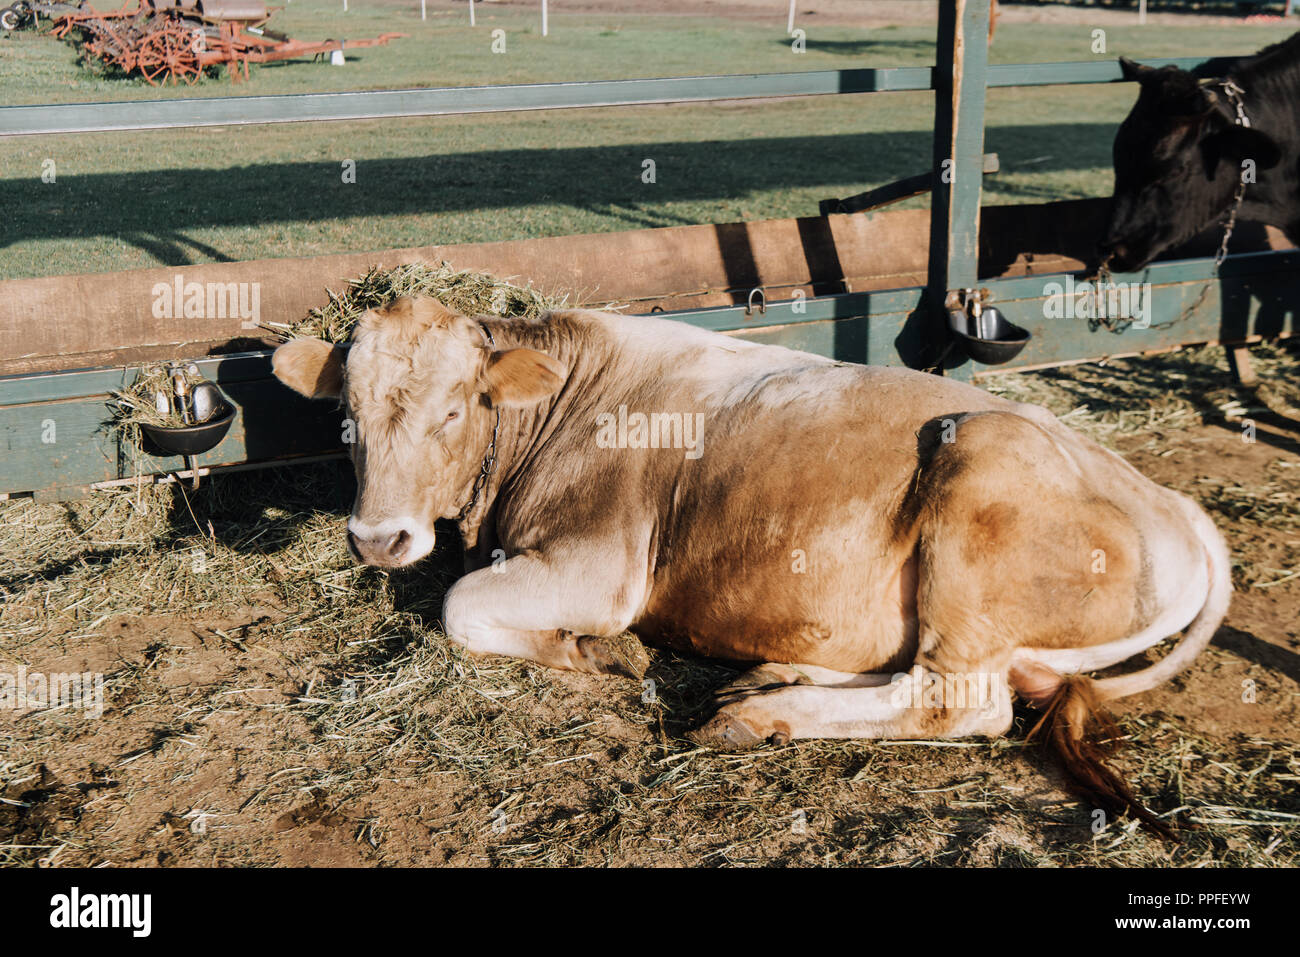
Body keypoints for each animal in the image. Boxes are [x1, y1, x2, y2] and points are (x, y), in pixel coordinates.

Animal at [273, 297, 1231, 837]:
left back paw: (756, 714)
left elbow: (462, 604)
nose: (377, 539)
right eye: (347, 414)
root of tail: (1170, 500)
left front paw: (599, 653)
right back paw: (767, 676)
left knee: (960, 700)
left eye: (454, 409)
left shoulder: (601, 565)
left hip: (981, 485)